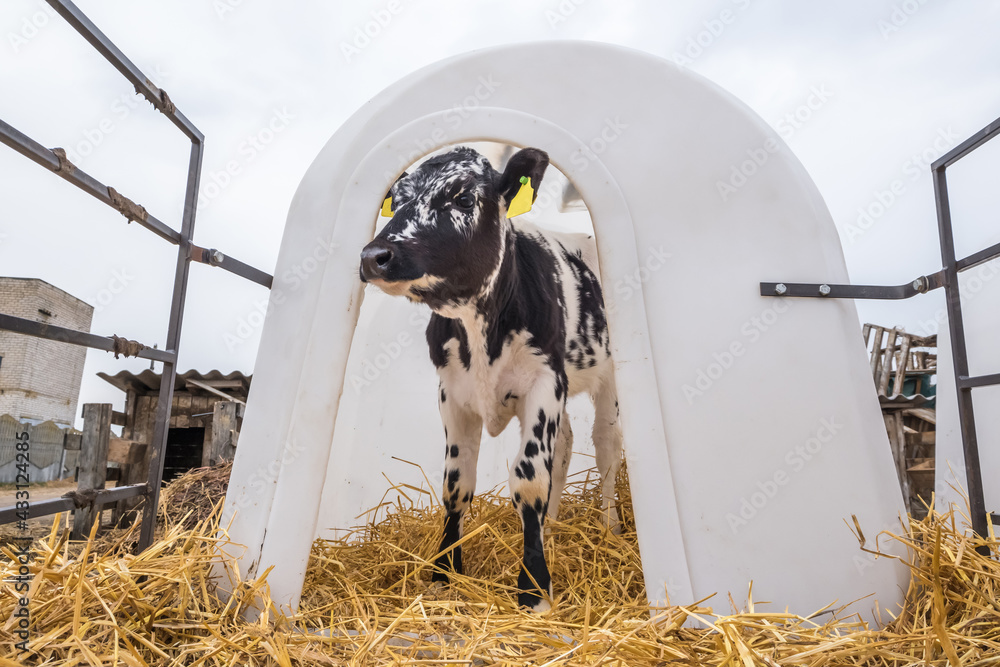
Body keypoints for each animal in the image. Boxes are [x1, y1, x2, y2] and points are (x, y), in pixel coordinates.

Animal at [359, 146, 622, 612]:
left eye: (464, 198)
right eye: (399, 199)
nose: (375, 256)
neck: (481, 331)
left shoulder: (544, 383)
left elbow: (530, 479)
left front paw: (533, 587)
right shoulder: (452, 394)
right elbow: (456, 484)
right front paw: (444, 572)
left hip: (605, 378)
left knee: (607, 446)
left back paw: (609, 528)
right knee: (566, 444)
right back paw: (553, 526)